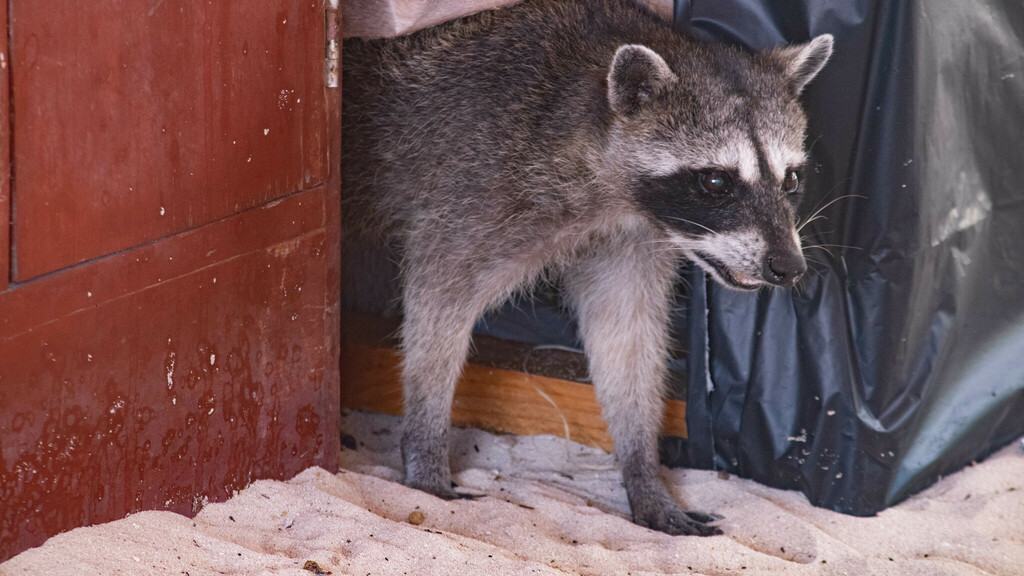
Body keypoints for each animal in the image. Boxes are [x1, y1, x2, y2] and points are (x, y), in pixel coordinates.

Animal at [342, 0, 832, 536]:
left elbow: (625, 337)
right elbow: (437, 298)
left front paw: (642, 467)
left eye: (791, 179)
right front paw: (426, 440)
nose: (788, 266)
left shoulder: (632, 241)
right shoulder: (476, 187)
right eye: (717, 181)